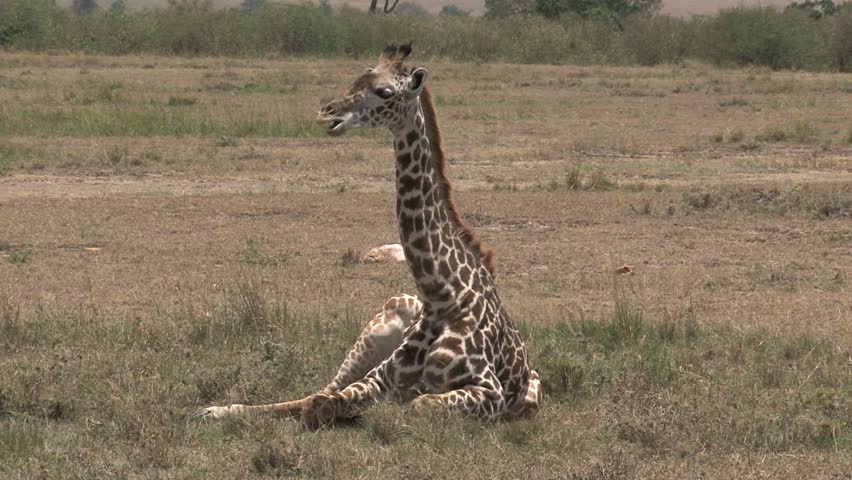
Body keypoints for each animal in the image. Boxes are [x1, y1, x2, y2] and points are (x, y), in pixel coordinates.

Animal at [198, 44, 542, 427]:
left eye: (385, 92)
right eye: (355, 79)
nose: (327, 113)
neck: (441, 293)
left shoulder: (489, 391)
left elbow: (418, 403)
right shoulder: (379, 377)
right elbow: (321, 401)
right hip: (383, 320)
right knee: (319, 389)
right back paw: (217, 409)